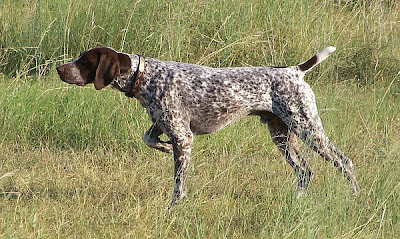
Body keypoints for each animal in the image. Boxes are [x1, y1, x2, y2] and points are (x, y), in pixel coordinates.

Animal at [55, 46, 360, 207]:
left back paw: (355, 197)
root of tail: (295, 70)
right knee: (305, 171)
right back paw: (296, 200)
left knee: (344, 162)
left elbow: (178, 183)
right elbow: (148, 138)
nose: (60, 69)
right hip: (282, 134)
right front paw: (164, 148)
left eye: (84, 61)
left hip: (307, 128)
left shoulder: (183, 137)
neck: (145, 77)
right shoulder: (163, 125)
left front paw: (174, 207)